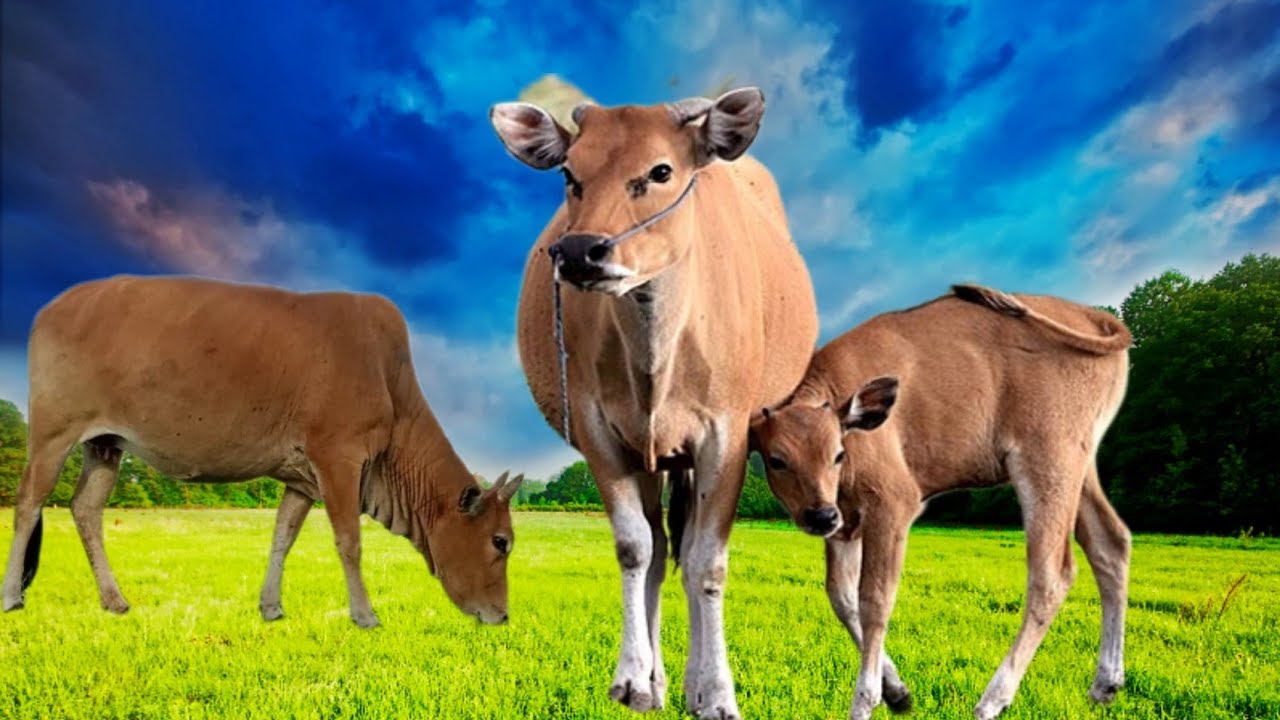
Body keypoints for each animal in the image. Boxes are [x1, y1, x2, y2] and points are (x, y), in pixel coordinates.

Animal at [2, 276, 522, 628]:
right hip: (53, 432)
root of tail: (53, 306)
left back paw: (114, 600)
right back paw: (12, 596)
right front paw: (365, 614)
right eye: (501, 542)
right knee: (29, 503)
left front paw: (271, 606)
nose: (502, 615)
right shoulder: (338, 457)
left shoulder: (301, 477)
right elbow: (349, 541)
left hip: (105, 444)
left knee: (85, 509)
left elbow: (282, 538)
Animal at [490, 88, 819, 719]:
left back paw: (691, 682)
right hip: (652, 456)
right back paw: (660, 679)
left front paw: (717, 691)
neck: (656, 353)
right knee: (662, 549)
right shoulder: (600, 433)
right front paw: (634, 677)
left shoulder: (726, 438)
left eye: (661, 171)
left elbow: (707, 562)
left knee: (684, 548)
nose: (579, 251)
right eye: (570, 174)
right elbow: (634, 548)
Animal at [750, 284, 1131, 720]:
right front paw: (897, 691)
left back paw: (993, 699)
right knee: (1111, 544)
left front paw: (865, 699)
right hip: (1081, 467)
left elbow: (874, 599)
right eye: (777, 460)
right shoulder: (846, 525)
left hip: (1048, 459)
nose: (820, 515)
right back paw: (1105, 684)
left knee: (1052, 573)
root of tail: (1095, 316)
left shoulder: (892, 505)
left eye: (838, 453)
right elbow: (841, 597)